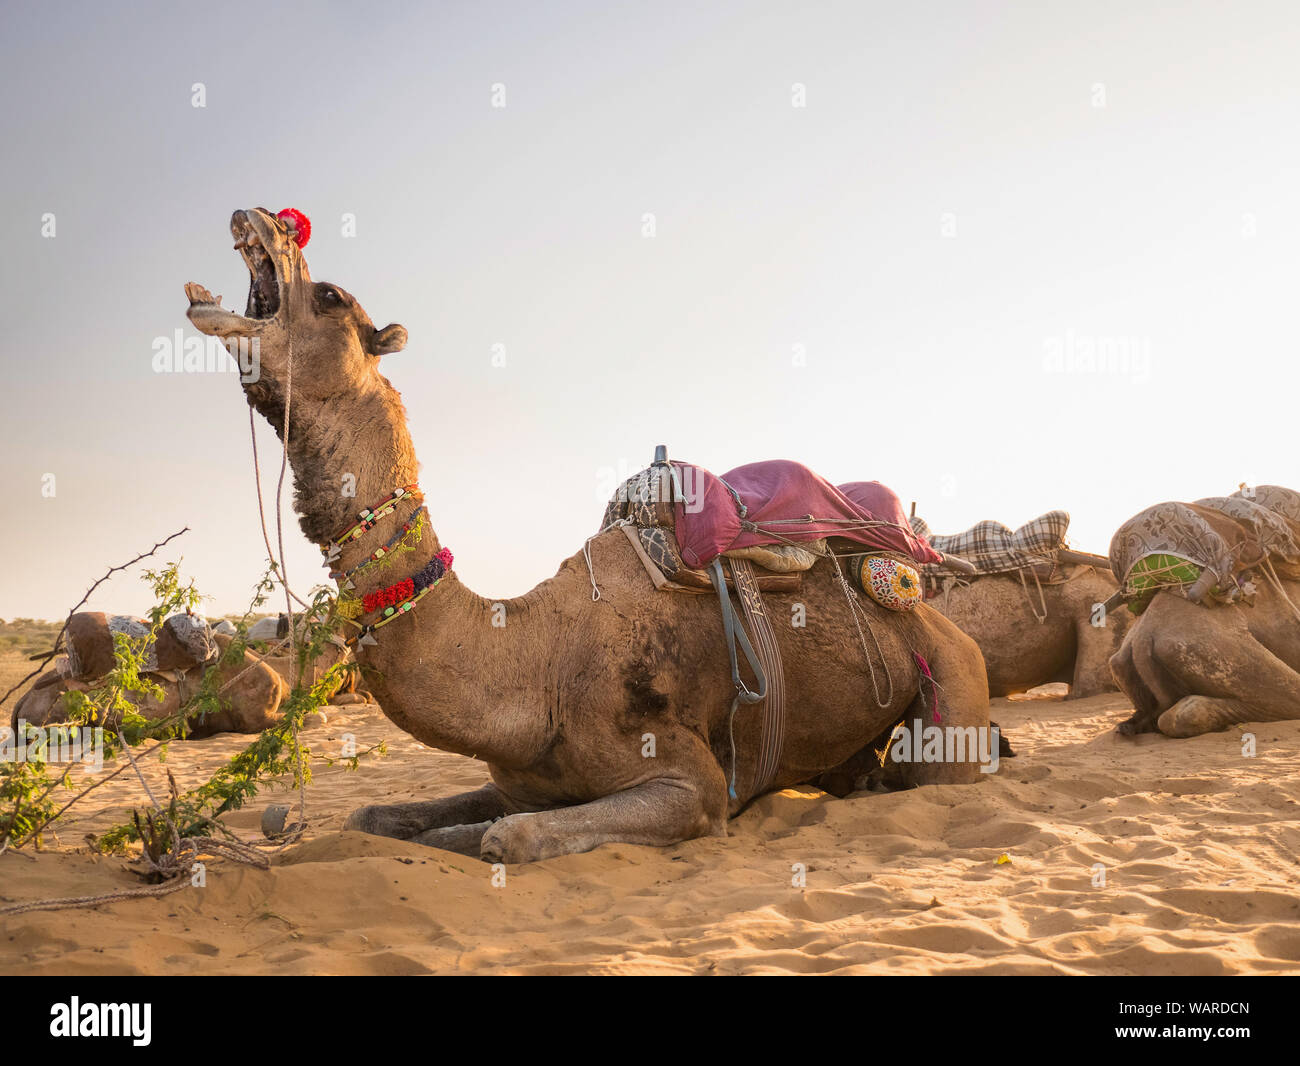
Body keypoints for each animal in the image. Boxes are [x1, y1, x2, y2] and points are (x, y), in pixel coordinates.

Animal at [184, 206, 991, 863]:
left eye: (329, 296)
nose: (263, 217)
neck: (535, 661)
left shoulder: (690, 782)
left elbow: (506, 838)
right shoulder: (518, 779)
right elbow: (373, 818)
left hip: (952, 683)